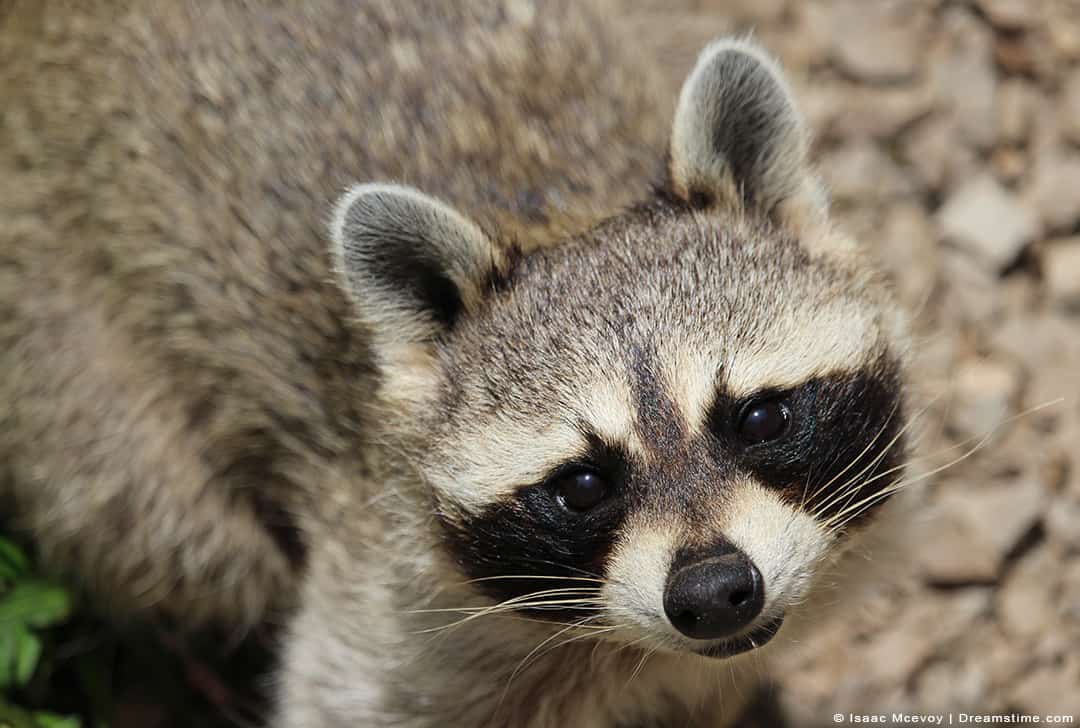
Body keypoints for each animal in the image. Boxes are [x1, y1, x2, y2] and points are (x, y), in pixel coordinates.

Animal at [0, 2, 911, 727]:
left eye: (760, 417)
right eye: (583, 485)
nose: (713, 593)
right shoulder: (383, 625)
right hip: (59, 338)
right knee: (173, 535)